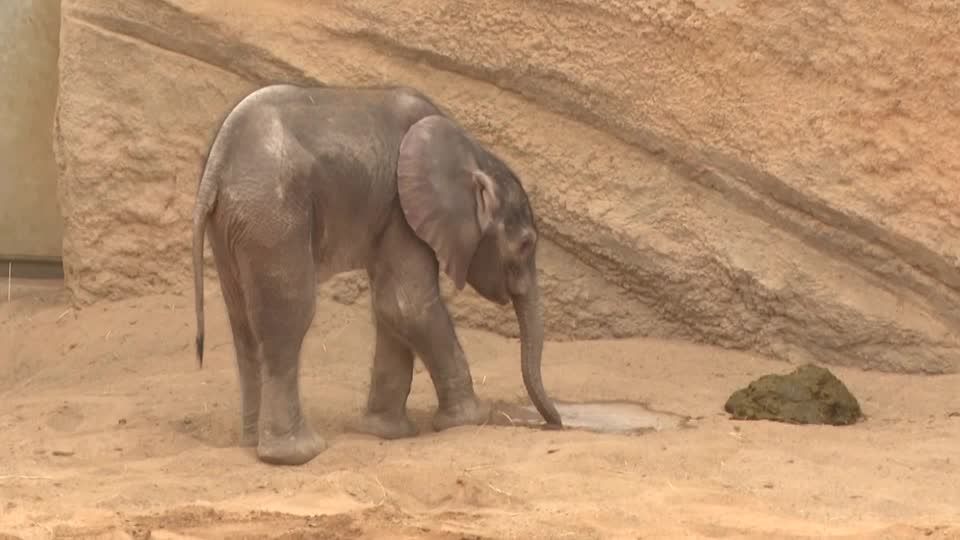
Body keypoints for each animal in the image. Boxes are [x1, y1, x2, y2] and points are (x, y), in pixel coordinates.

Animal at [191, 83, 563, 466]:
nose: (555, 424)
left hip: (235, 223)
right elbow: (407, 305)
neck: (474, 154)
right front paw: (472, 419)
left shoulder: (390, 210)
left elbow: (390, 308)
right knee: (289, 316)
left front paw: (384, 433)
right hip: (273, 215)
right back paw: (297, 454)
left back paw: (251, 443)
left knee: (243, 323)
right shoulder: (403, 206)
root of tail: (218, 161)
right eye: (525, 244)